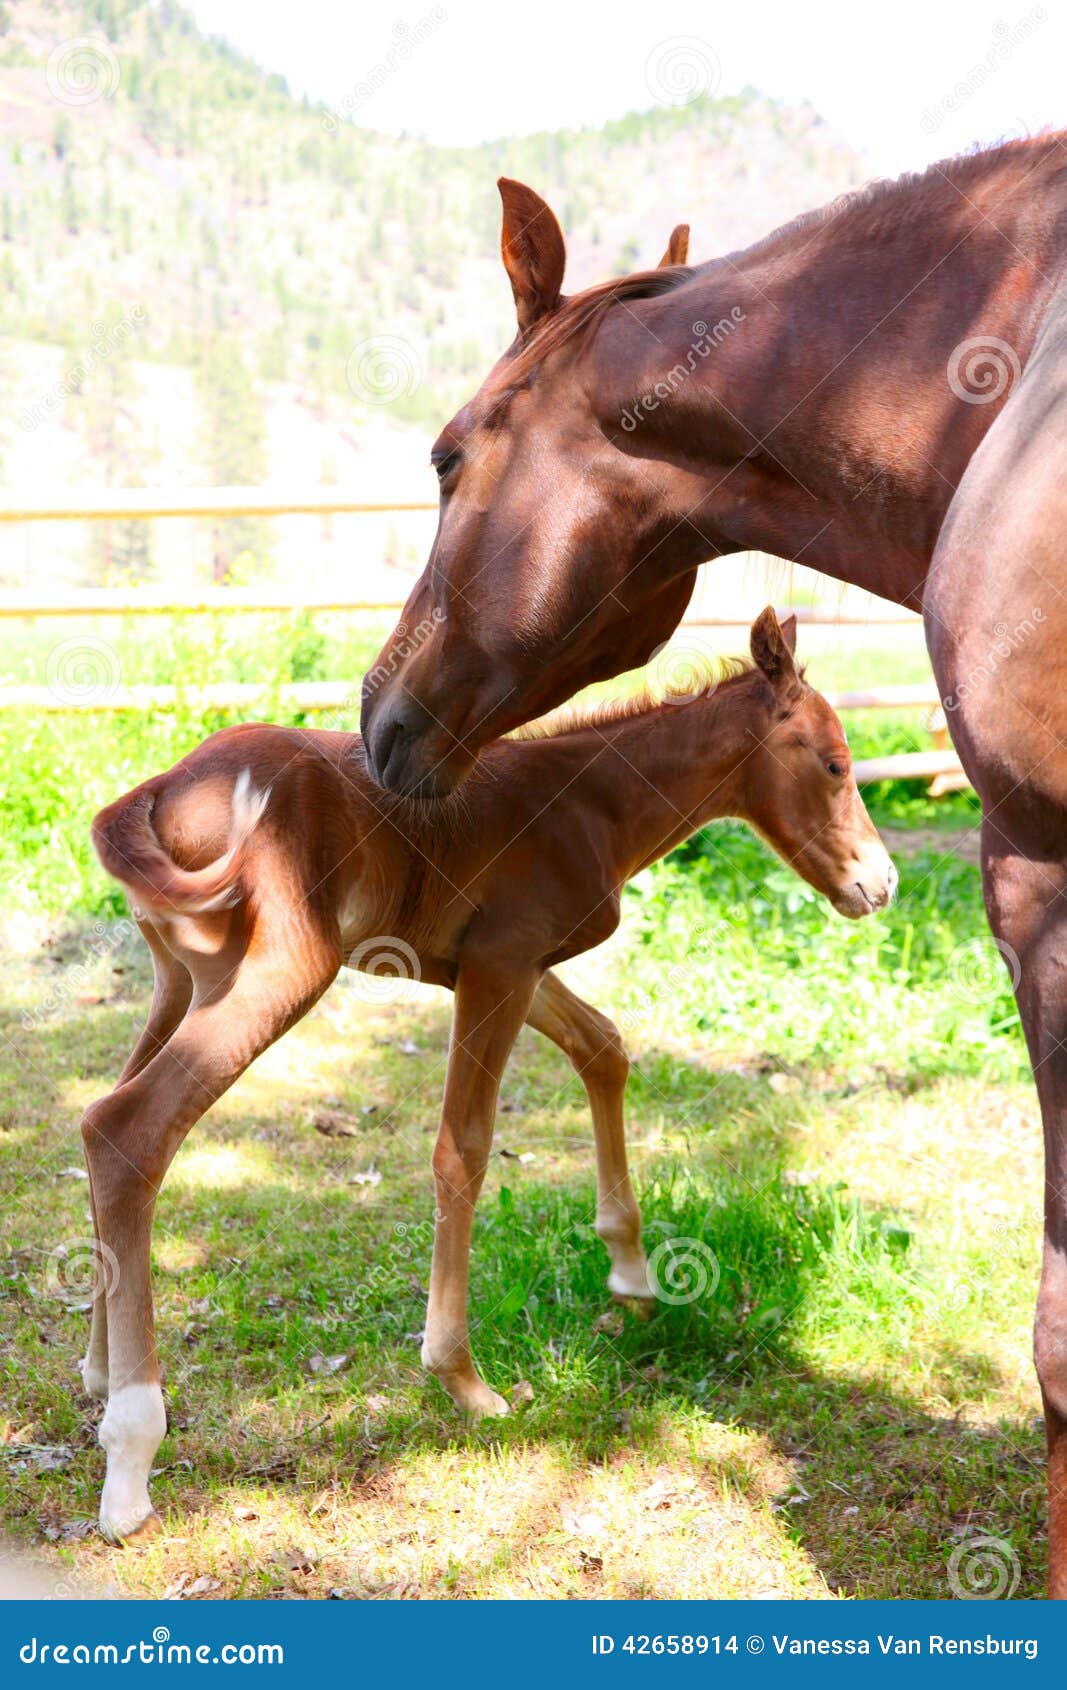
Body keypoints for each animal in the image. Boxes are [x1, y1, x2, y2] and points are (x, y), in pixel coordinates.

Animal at [78, 610, 892, 1541]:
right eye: (833, 764)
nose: (880, 883)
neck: (588, 801)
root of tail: (158, 790)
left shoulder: (512, 965)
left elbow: (603, 1047)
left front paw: (631, 1272)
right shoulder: (499, 963)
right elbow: (462, 1149)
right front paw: (461, 1377)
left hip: (182, 981)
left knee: (100, 1120)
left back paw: (97, 1368)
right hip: (278, 973)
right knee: (134, 1127)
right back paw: (132, 1457)